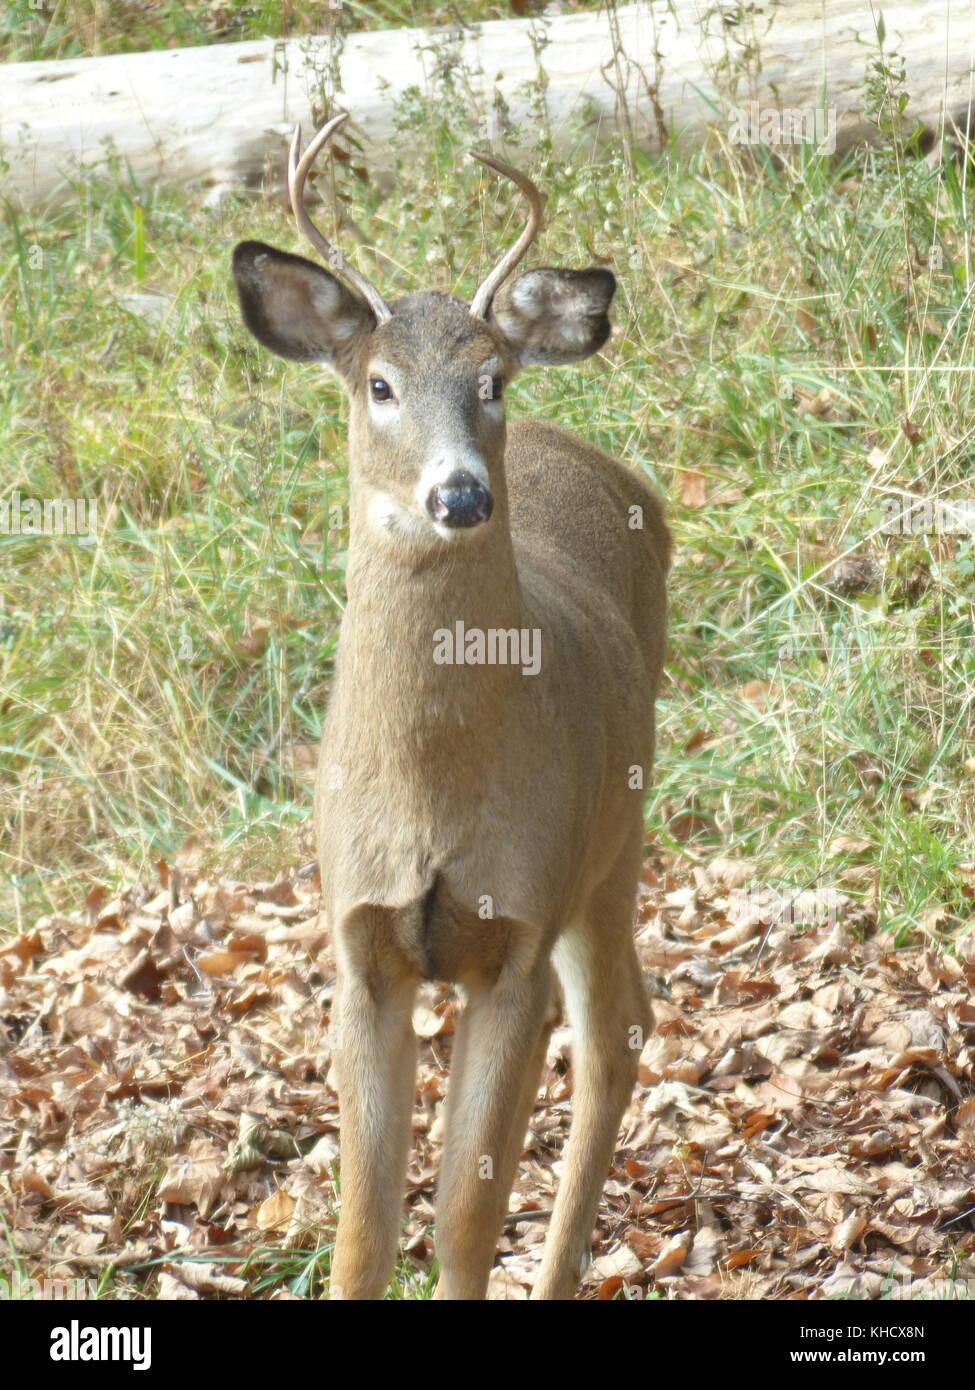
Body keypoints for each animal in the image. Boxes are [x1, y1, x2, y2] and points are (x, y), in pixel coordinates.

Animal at [232, 113, 669, 1301]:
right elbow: (365, 1227)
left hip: (612, 841)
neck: (432, 796)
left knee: (618, 1031)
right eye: (379, 383)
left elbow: (465, 1218)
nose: (460, 492)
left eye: (493, 381)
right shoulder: (357, 942)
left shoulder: (517, 927)